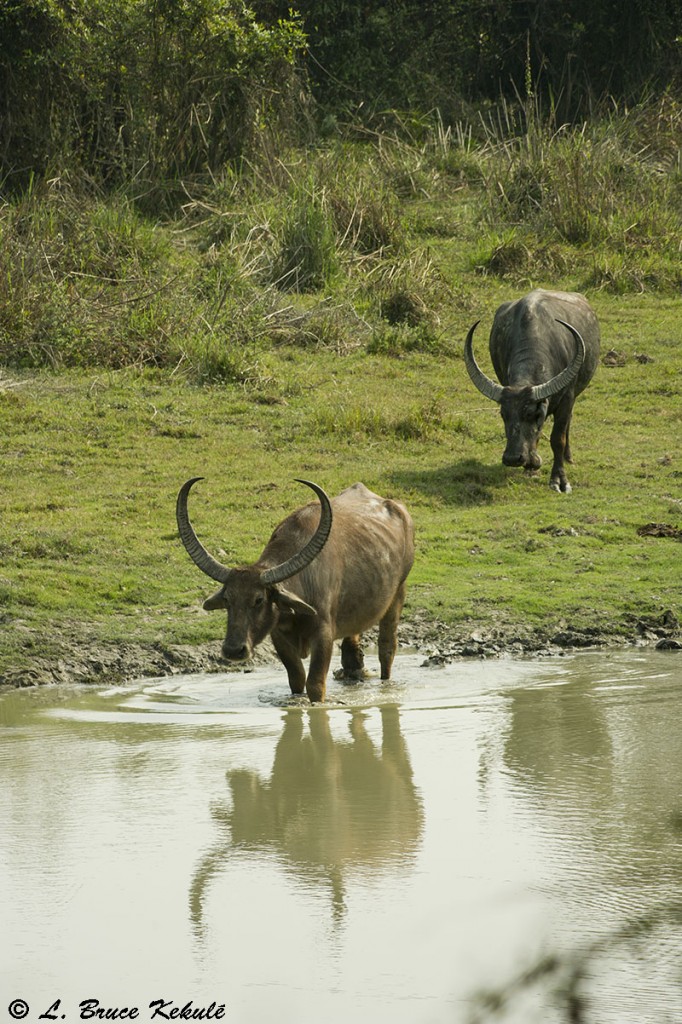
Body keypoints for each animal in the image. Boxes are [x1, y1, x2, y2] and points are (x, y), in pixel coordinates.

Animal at [176, 479, 415, 702]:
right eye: (227, 599)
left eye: (259, 599)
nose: (234, 650)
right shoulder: (279, 636)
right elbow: (297, 678)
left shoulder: (324, 634)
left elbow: (315, 684)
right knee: (352, 651)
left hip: (399, 592)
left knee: (387, 648)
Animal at [464, 289, 600, 492]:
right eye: (503, 415)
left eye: (532, 414)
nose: (513, 458)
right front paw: (531, 465)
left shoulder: (567, 398)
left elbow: (557, 438)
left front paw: (559, 480)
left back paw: (568, 457)